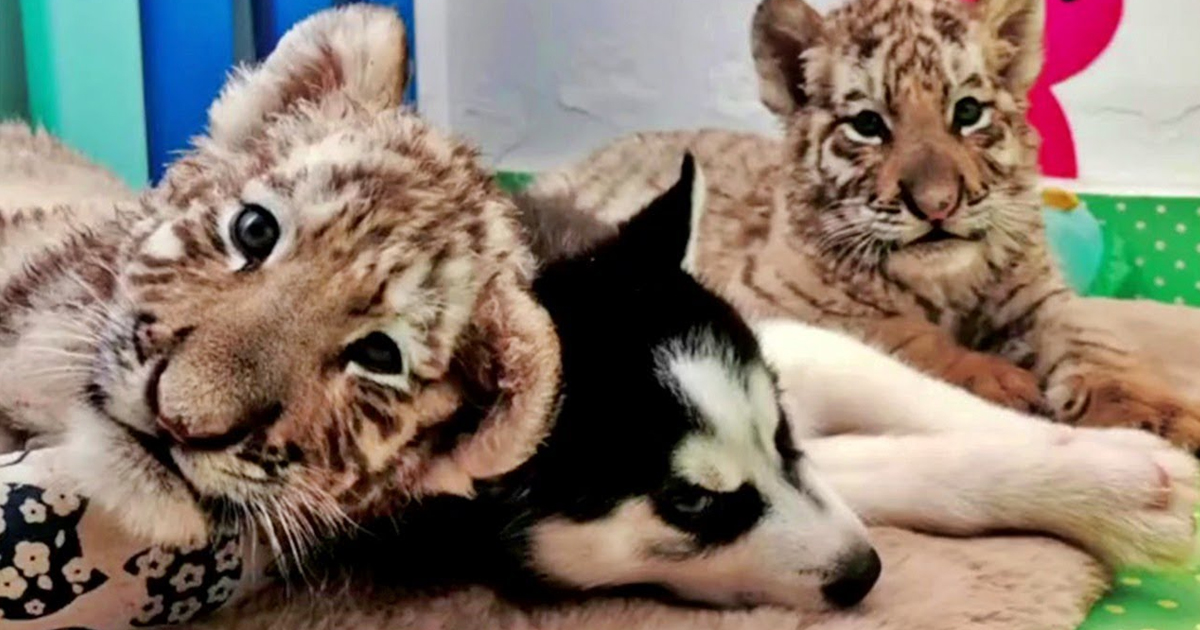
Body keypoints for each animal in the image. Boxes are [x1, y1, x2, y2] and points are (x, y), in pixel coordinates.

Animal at [520, 0, 1200, 451]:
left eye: (968, 113)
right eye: (868, 125)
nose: (937, 205)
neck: (946, 284)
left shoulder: (1040, 296)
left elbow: (1095, 340)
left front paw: (1159, 416)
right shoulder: (774, 301)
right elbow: (895, 331)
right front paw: (1000, 380)